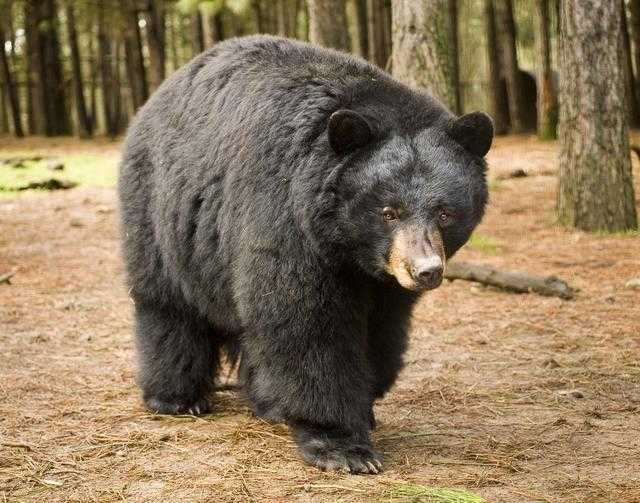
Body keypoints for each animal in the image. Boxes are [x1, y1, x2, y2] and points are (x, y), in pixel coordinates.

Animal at [118, 35, 492, 474]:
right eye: (389, 211)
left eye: (445, 212)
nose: (425, 270)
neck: (344, 245)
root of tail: (156, 96)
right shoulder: (285, 216)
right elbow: (305, 323)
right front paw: (341, 445)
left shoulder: (381, 281)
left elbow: (380, 330)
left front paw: (365, 405)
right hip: (162, 213)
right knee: (168, 304)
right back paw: (178, 397)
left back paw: (266, 403)